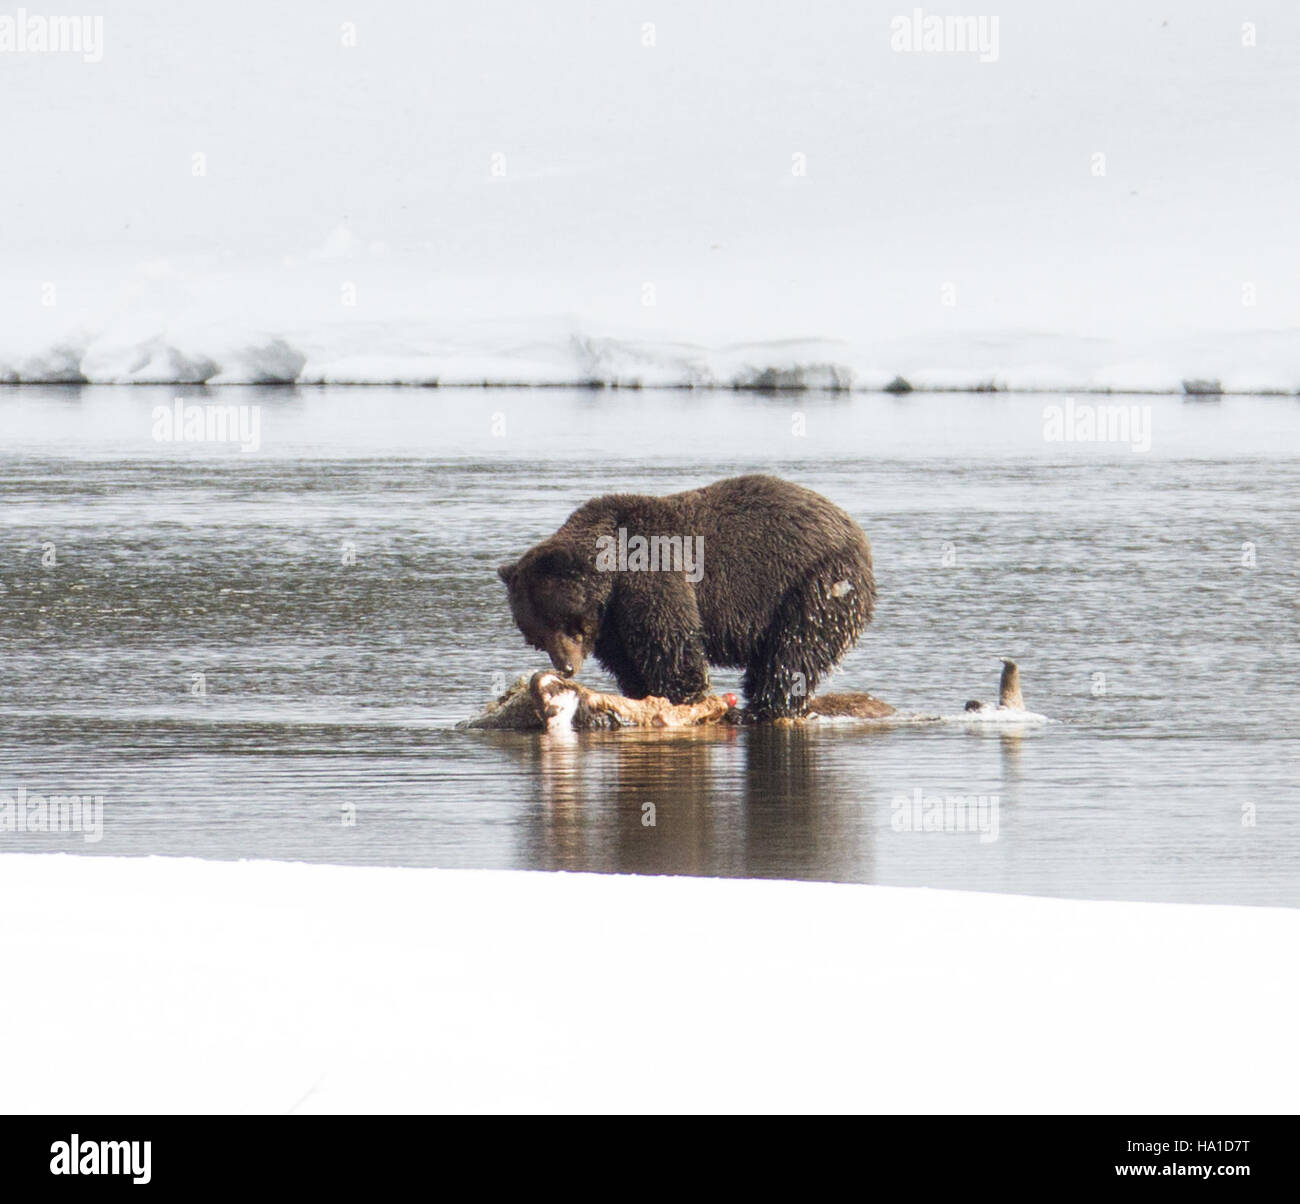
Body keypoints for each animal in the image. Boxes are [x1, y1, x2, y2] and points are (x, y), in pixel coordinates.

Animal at [497, 474, 875, 719]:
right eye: (536, 636)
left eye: (568, 624)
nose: (567, 667)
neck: (613, 575)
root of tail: (853, 528)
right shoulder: (613, 620)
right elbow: (628, 660)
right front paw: (641, 692)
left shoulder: (652, 573)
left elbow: (670, 643)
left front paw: (683, 697)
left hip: (815, 583)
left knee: (794, 651)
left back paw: (764, 707)